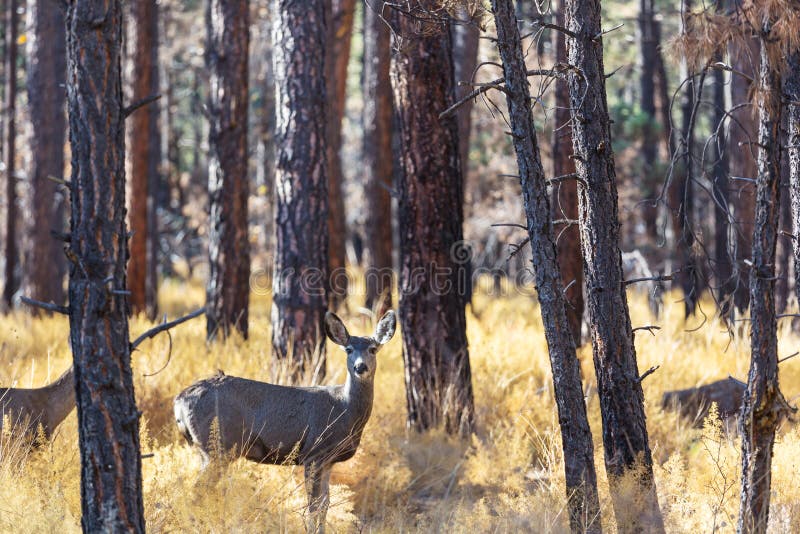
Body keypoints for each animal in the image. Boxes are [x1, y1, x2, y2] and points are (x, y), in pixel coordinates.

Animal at [173, 310, 396, 533]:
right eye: (349, 350)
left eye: (373, 349)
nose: (360, 367)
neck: (345, 409)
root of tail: (179, 401)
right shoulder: (314, 453)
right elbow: (314, 505)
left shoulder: (328, 460)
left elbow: (326, 503)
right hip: (218, 445)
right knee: (198, 491)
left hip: (209, 449)